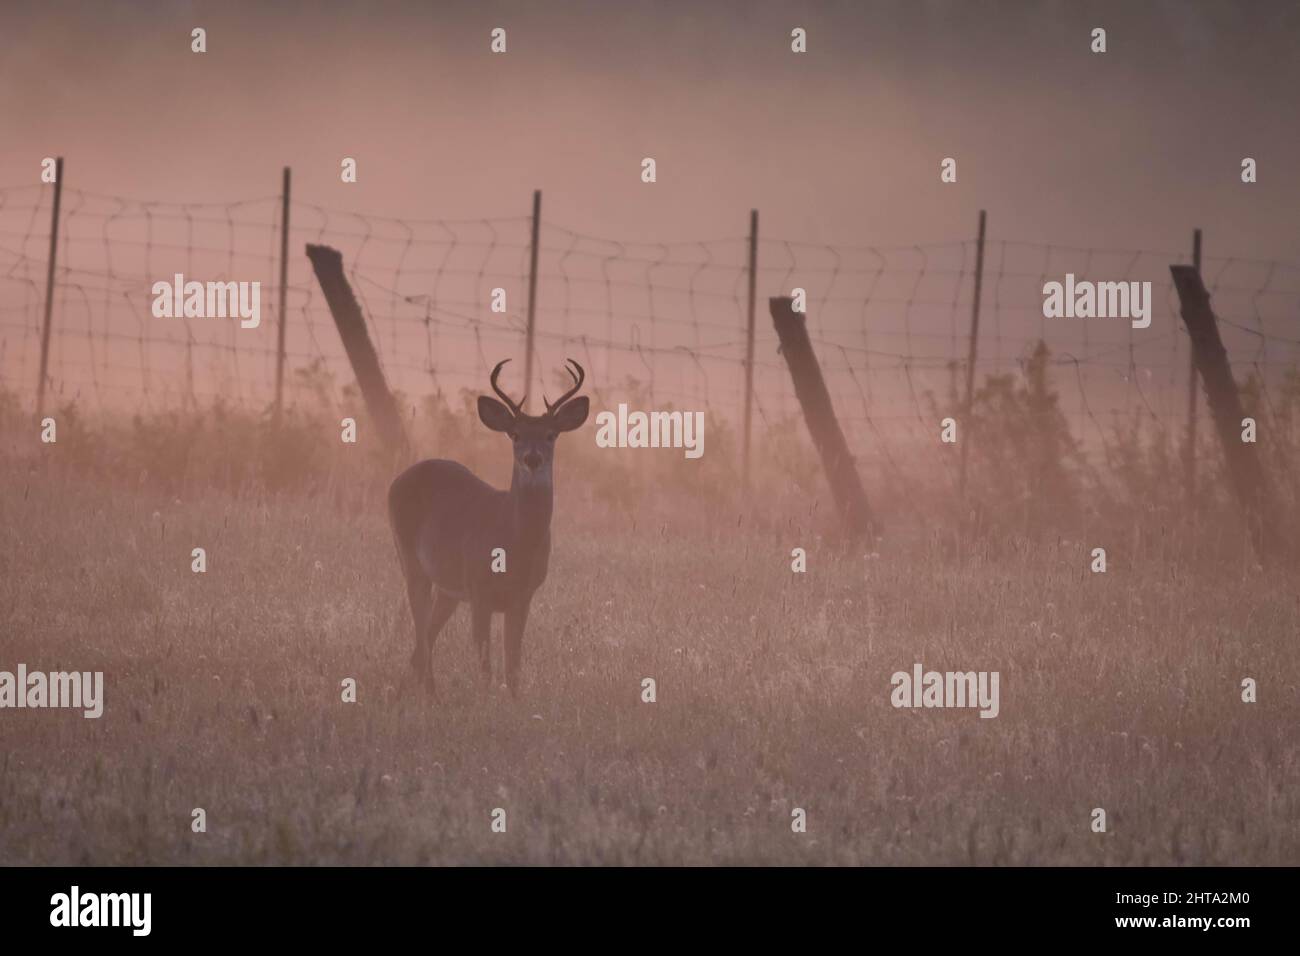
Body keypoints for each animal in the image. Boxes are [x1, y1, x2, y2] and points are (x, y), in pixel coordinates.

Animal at [388, 358, 589, 695]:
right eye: (515, 434)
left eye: (551, 434)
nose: (532, 458)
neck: (515, 541)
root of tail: (398, 479)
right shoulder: (479, 589)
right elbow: (486, 665)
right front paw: (485, 698)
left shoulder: (523, 596)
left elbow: (513, 663)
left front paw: (514, 699)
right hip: (411, 561)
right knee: (421, 630)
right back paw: (428, 692)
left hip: (449, 587)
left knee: (427, 633)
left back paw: (415, 689)